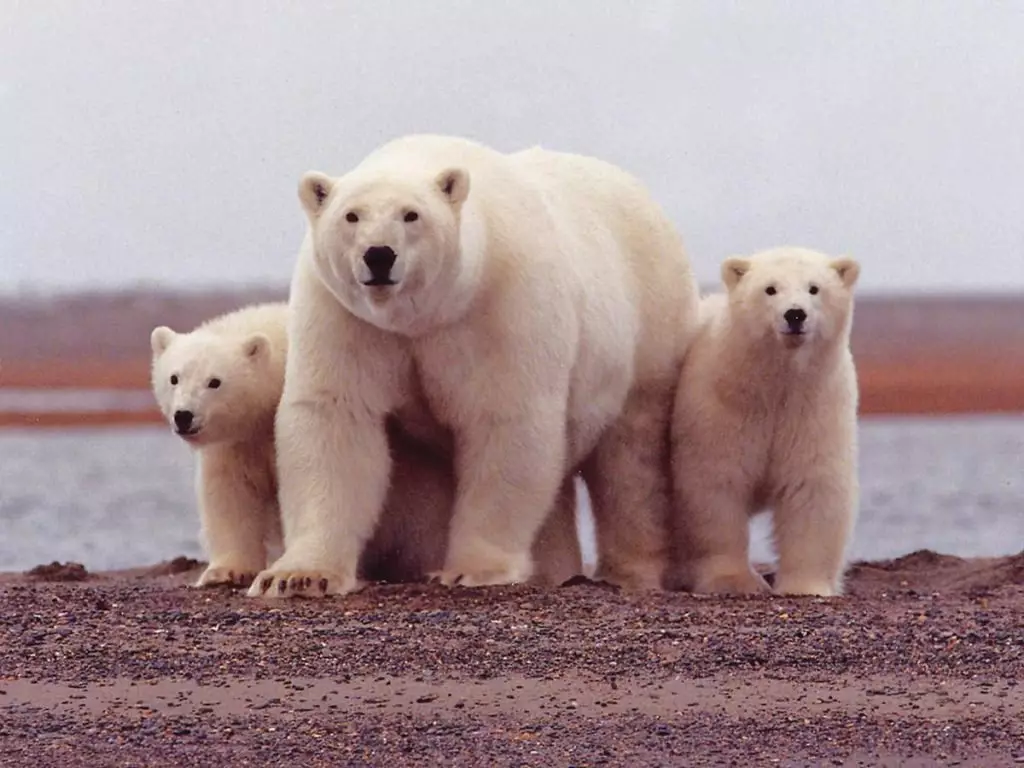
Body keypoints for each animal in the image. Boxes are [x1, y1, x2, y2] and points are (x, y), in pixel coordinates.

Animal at [148, 301, 581, 589]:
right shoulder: (240, 440)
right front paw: (226, 570)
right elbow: (230, 493)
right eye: (174, 377)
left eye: (215, 382)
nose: (184, 416)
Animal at [243, 134, 700, 602]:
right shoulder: (347, 317)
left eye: (412, 214)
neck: (424, 316)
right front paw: (297, 576)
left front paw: (472, 569)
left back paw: (630, 571)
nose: (379, 255)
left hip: (649, 325)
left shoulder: (499, 306)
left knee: (632, 459)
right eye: (351, 215)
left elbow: (505, 422)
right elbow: (336, 417)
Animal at [667, 249, 860, 598]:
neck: (774, 385)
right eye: (770, 289)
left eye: (814, 288)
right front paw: (733, 580)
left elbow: (812, 487)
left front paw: (805, 586)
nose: (795, 315)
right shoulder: (722, 408)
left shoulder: (816, 408)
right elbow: (716, 485)